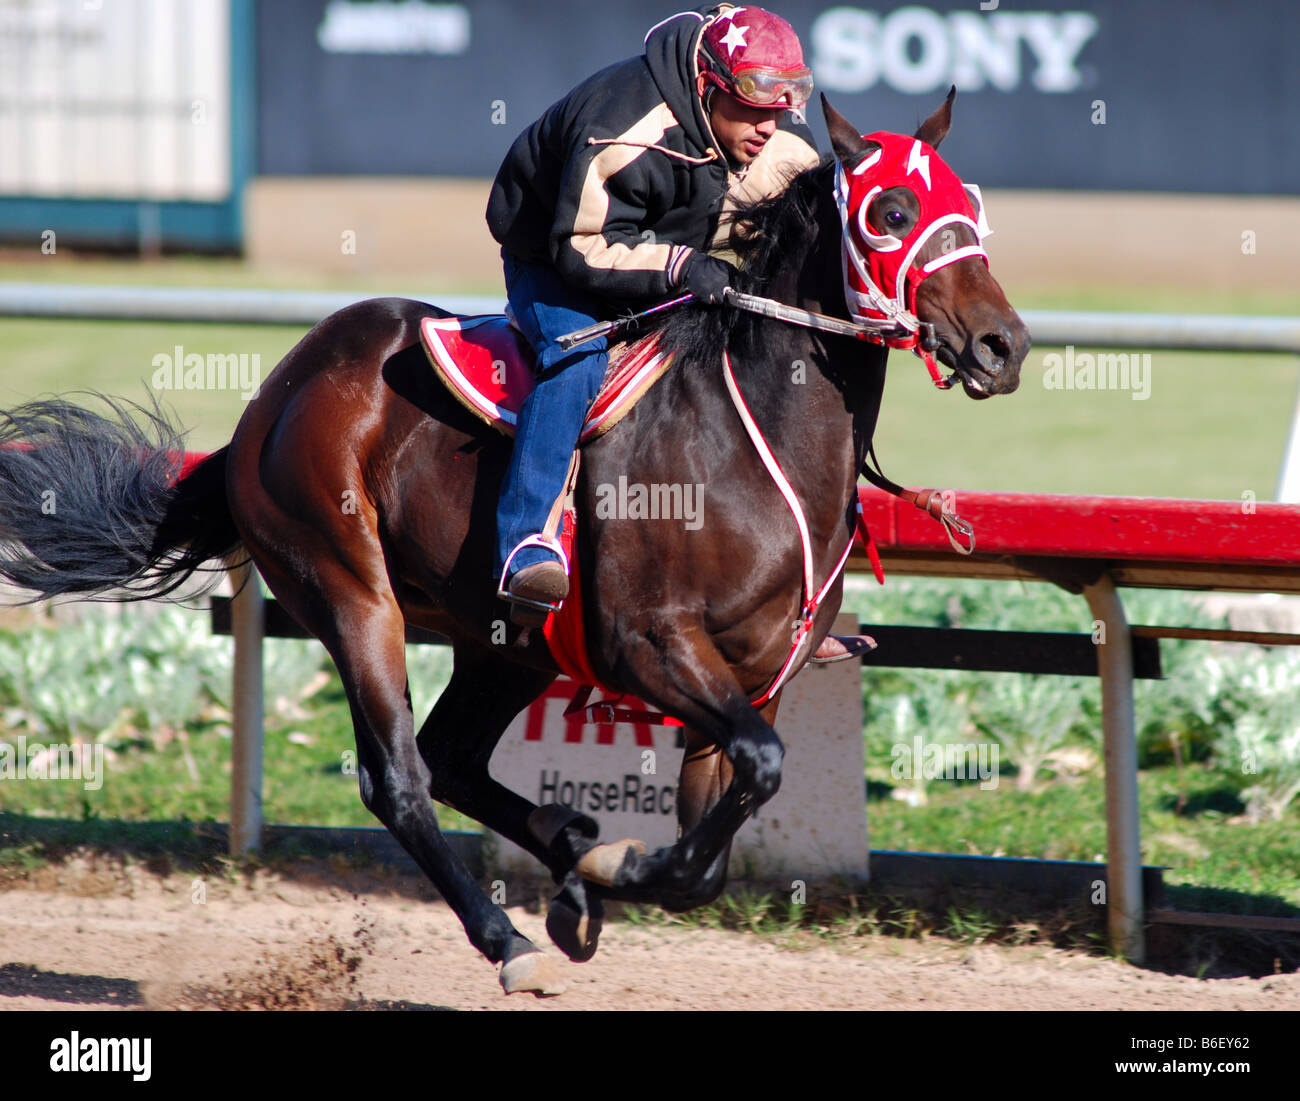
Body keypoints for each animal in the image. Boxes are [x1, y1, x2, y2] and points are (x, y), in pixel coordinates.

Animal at [0, 94, 1028, 996]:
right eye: (891, 212)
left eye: (973, 205)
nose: (1003, 344)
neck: (752, 435)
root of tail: (273, 396)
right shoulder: (649, 646)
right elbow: (751, 776)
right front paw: (609, 872)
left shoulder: (752, 676)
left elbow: (721, 834)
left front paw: (597, 870)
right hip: (348, 590)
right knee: (399, 777)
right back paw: (511, 938)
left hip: (506, 638)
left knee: (452, 755)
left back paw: (570, 859)